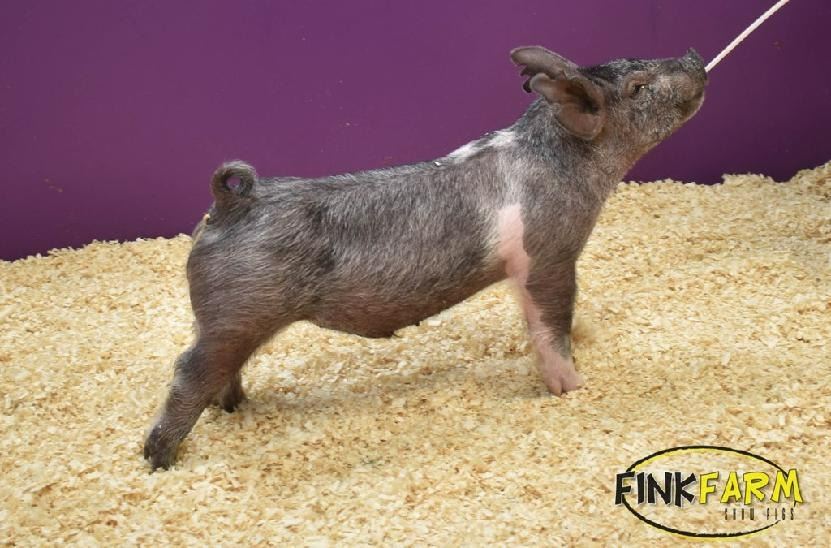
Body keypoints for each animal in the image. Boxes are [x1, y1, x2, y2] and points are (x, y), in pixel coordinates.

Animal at [144, 46, 707, 470]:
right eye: (638, 86)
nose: (694, 55)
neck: (562, 160)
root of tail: (231, 202)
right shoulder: (548, 254)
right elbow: (551, 325)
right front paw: (573, 387)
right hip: (236, 314)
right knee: (187, 370)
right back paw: (160, 460)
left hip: (233, 322)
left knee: (221, 370)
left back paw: (238, 408)